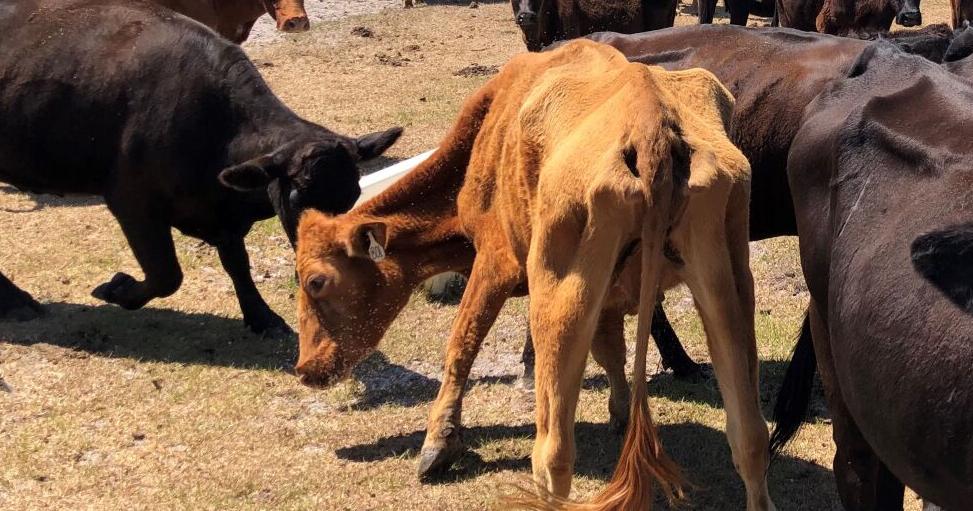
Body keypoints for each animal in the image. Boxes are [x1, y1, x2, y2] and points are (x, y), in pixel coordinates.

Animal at [294, 39, 776, 509]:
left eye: (316, 281)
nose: (304, 370)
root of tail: (650, 121)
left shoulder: (494, 258)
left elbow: (461, 343)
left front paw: (438, 443)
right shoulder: (608, 294)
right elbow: (611, 351)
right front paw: (620, 411)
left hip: (559, 295)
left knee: (553, 450)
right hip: (728, 278)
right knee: (750, 437)